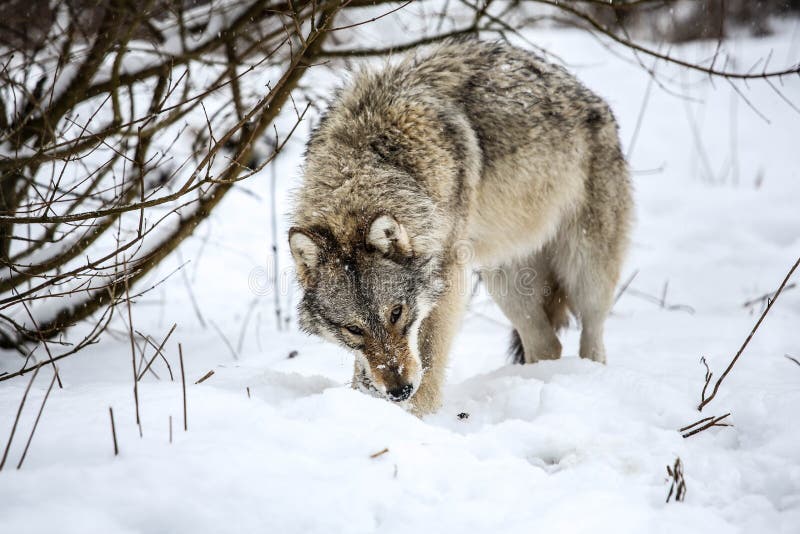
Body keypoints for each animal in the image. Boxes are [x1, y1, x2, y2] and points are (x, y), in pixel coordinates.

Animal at [288, 39, 632, 415]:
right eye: (353, 329)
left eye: (397, 313)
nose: (398, 391)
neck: (367, 159)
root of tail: (592, 97)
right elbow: (363, 366)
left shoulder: (448, 278)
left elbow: (429, 356)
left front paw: (417, 414)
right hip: (506, 282)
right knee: (547, 346)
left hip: (585, 273)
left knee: (592, 340)